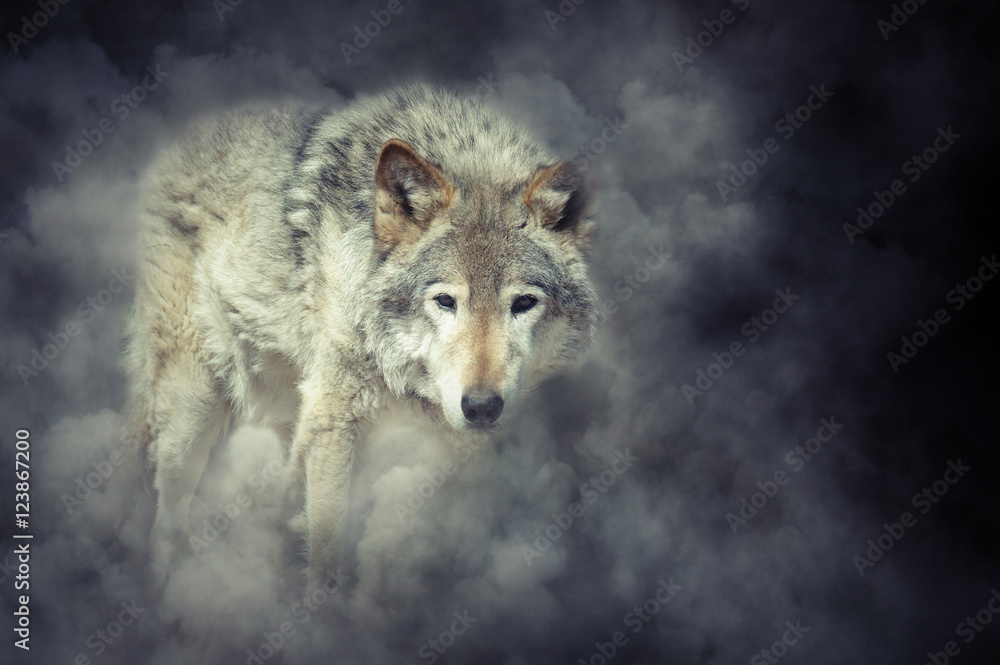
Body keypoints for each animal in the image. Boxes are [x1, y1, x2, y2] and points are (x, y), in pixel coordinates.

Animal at [124, 84, 598, 593]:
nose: (482, 407)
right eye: (445, 301)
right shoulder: (336, 424)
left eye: (524, 303)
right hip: (195, 411)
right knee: (167, 522)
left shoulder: (457, 452)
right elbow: (328, 554)